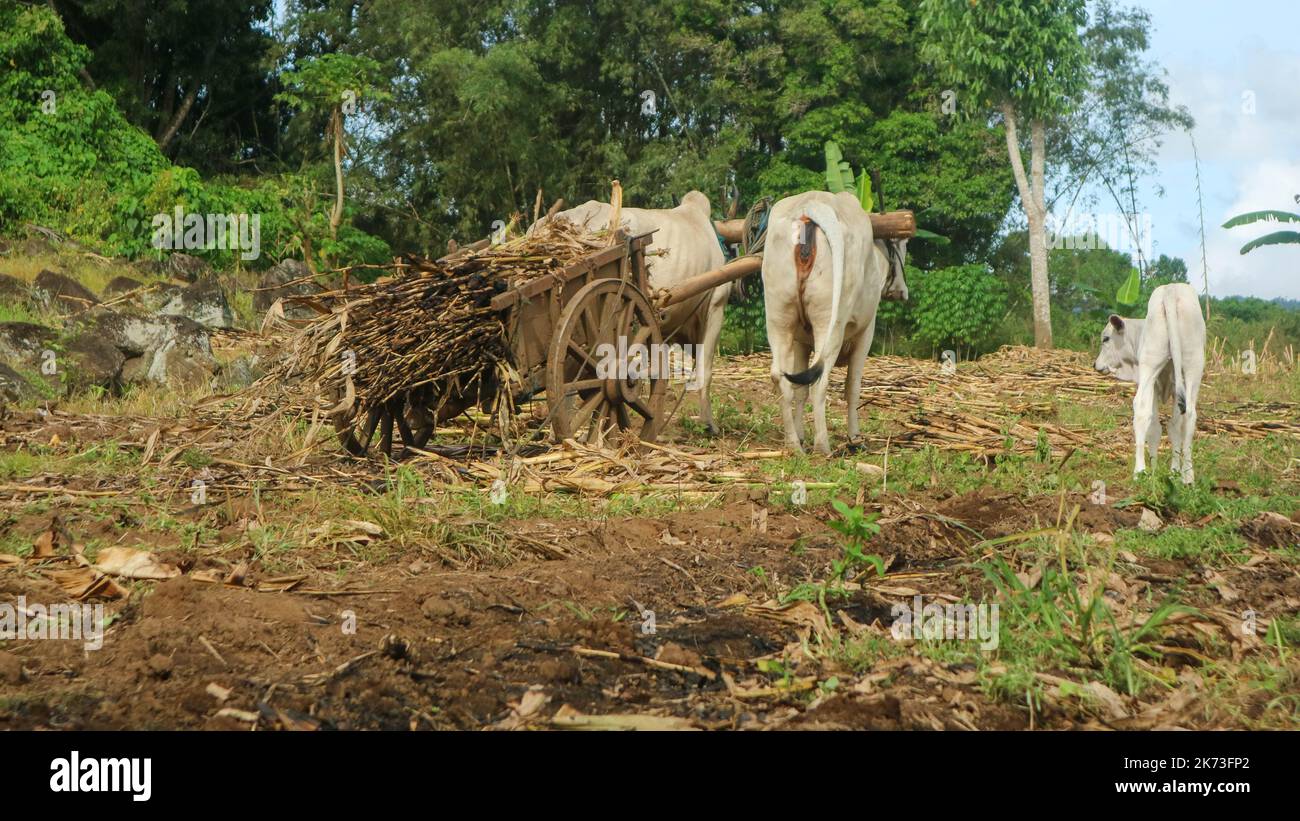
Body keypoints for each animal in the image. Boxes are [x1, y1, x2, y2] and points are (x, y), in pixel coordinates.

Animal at [762, 190, 909, 455]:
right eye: (903, 244)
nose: (902, 292)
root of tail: (811, 206)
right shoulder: (866, 333)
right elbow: (853, 388)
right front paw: (855, 438)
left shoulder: (800, 342)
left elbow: (799, 389)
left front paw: (800, 435)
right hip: (829, 322)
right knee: (820, 380)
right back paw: (823, 446)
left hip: (779, 317)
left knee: (781, 377)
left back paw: (793, 445)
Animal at [1093, 282, 1206, 484]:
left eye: (1105, 338)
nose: (1096, 365)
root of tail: (1171, 289)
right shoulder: (1175, 387)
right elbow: (1173, 426)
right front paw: (1174, 472)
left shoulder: (1153, 384)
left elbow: (1154, 427)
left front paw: (1154, 471)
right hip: (1193, 364)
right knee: (1190, 414)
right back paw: (1188, 476)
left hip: (1151, 365)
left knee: (1140, 408)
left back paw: (1139, 471)